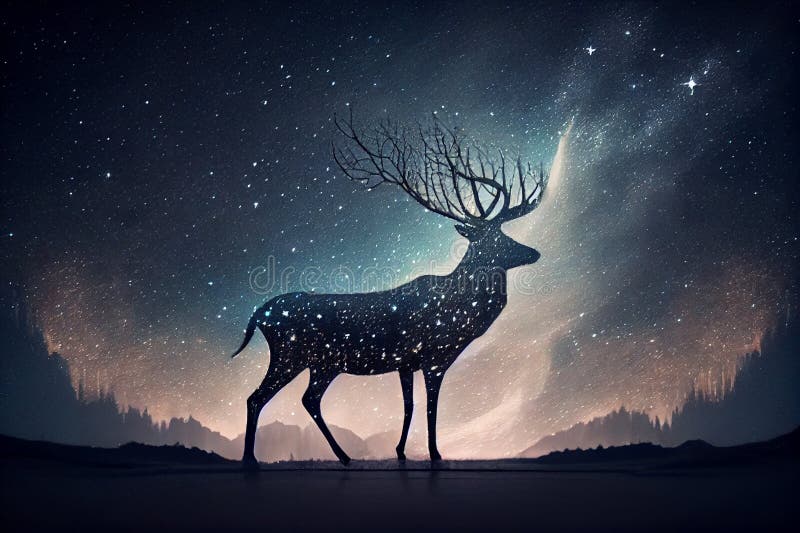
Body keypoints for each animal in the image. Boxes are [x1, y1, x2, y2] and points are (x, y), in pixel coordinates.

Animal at [231, 111, 548, 468]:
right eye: (496, 238)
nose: (533, 253)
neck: (461, 316)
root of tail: (259, 315)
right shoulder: (434, 357)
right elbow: (431, 408)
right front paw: (435, 454)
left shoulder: (405, 362)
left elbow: (408, 406)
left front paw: (400, 451)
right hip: (291, 354)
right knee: (257, 397)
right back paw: (251, 459)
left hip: (321, 364)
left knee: (307, 399)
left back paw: (344, 456)